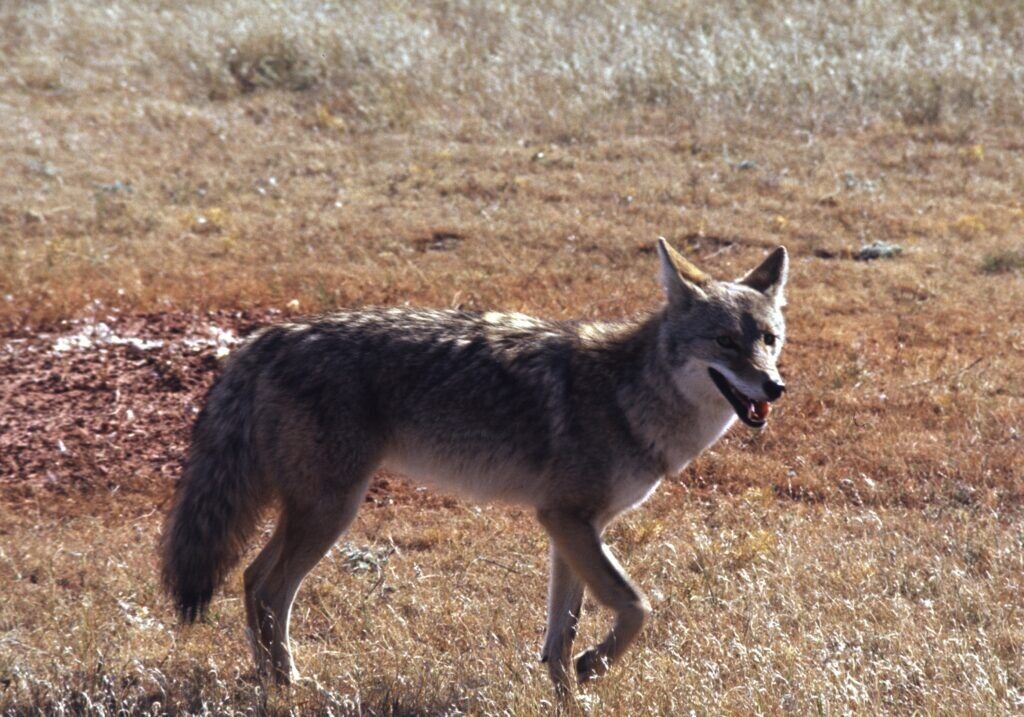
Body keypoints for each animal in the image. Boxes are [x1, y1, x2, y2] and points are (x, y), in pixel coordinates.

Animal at [160, 239, 788, 693]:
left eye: (769, 339)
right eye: (725, 341)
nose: (775, 387)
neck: (625, 395)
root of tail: (269, 336)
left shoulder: (572, 528)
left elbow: (562, 633)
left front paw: (568, 694)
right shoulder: (567, 521)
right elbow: (637, 606)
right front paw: (593, 667)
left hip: (317, 511)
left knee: (250, 579)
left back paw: (269, 677)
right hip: (331, 511)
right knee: (268, 588)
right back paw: (288, 684)